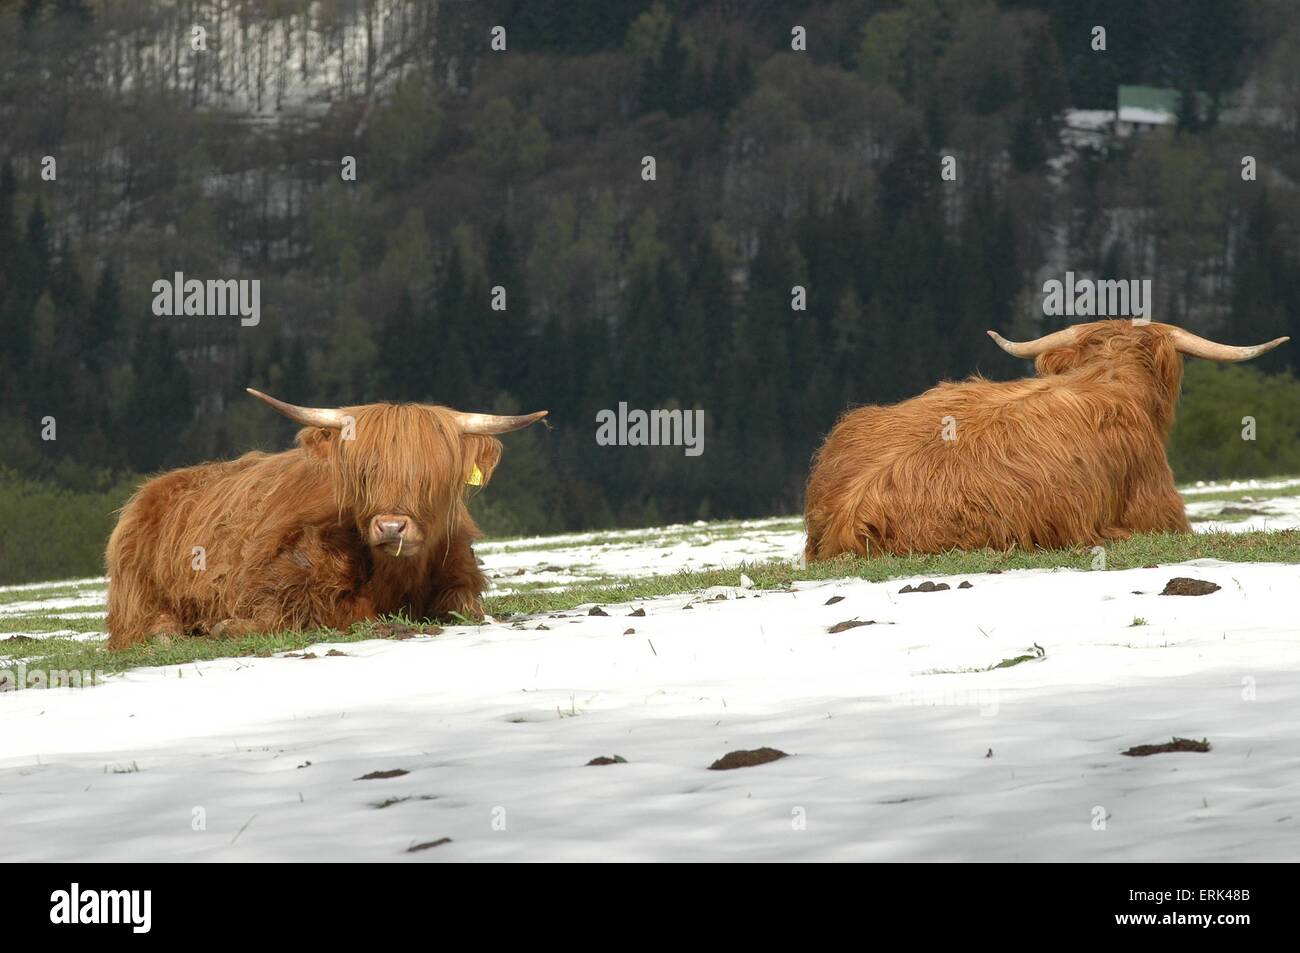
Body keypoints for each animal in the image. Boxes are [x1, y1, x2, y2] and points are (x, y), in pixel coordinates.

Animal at [104, 389, 547, 649]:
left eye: (430, 476)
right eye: (363, 474)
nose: (391, 526)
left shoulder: (461, 579)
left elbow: (464, 607)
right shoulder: (273, 585)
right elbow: (292, 618)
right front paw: (222, 627)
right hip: (135, 592)